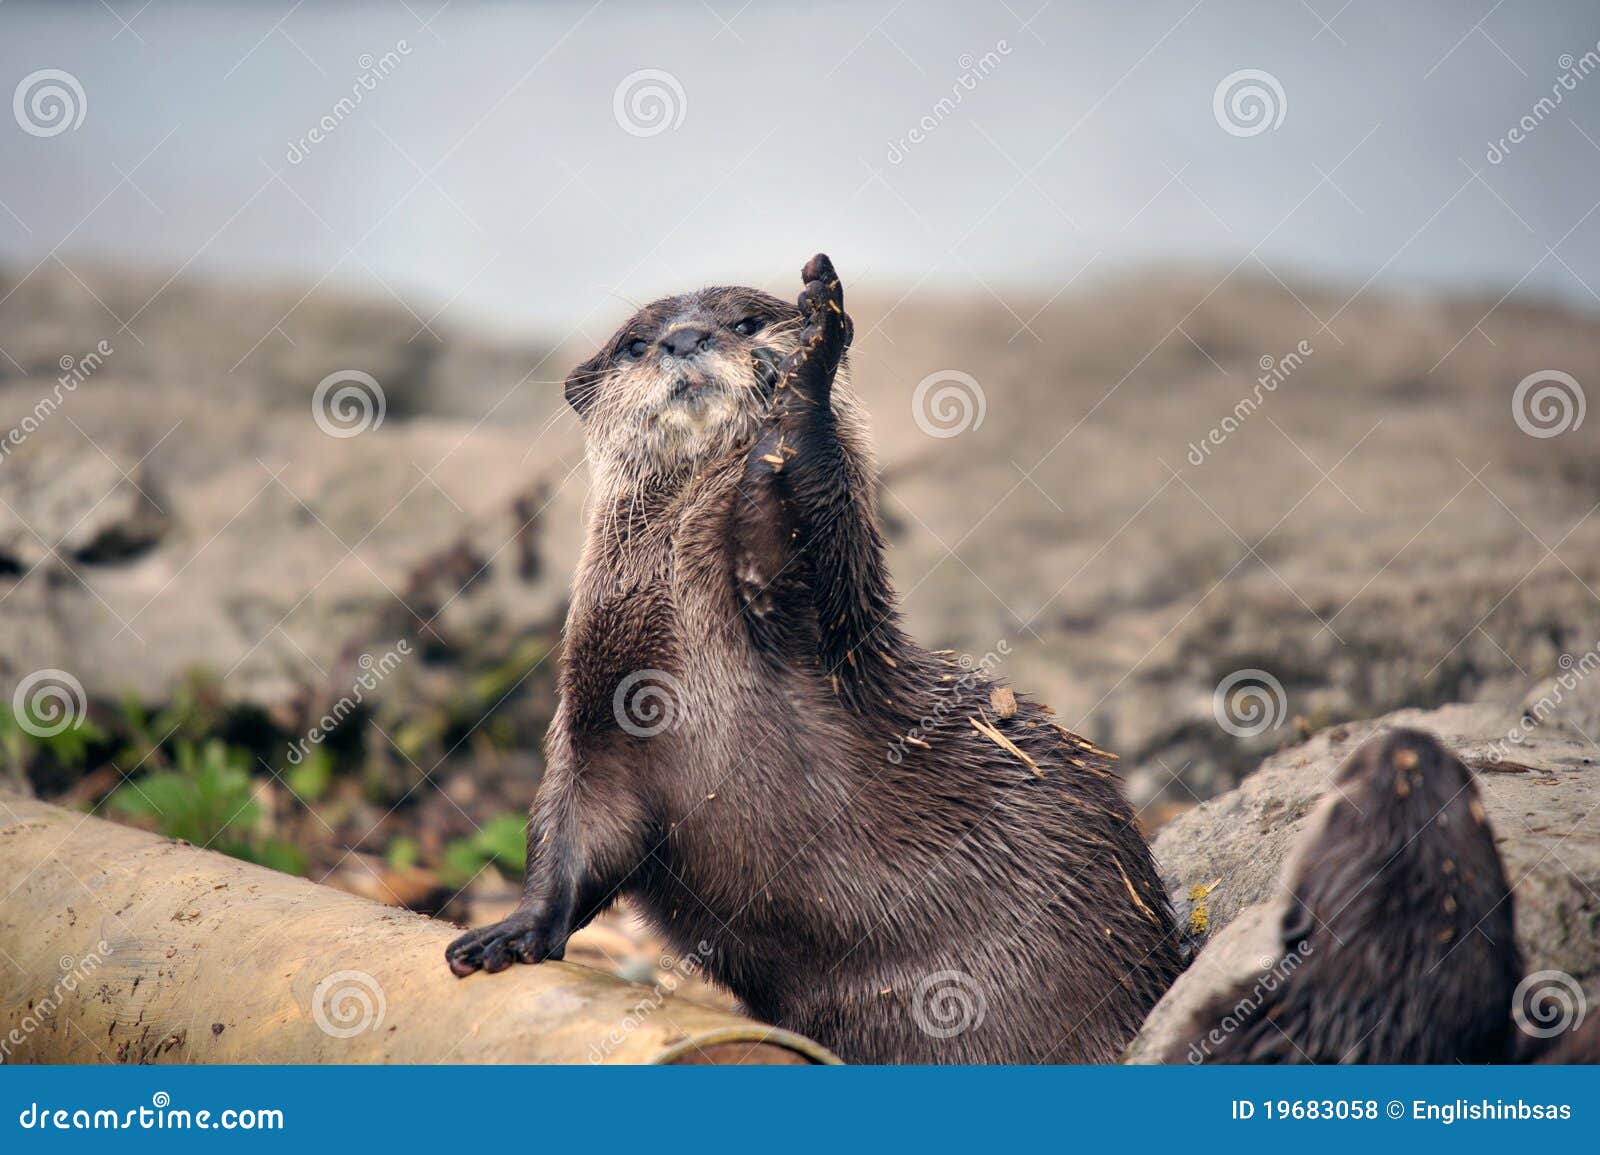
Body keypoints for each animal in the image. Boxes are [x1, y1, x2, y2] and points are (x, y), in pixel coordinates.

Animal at [444, 255, 1181, 1063]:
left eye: (745, 321)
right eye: (635, 342)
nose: (685, 338)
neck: (671, 634)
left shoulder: (820, 608)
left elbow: (800, 515)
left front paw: (811, 357)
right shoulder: (594, 716)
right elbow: (570, 827)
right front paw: (512, 933)